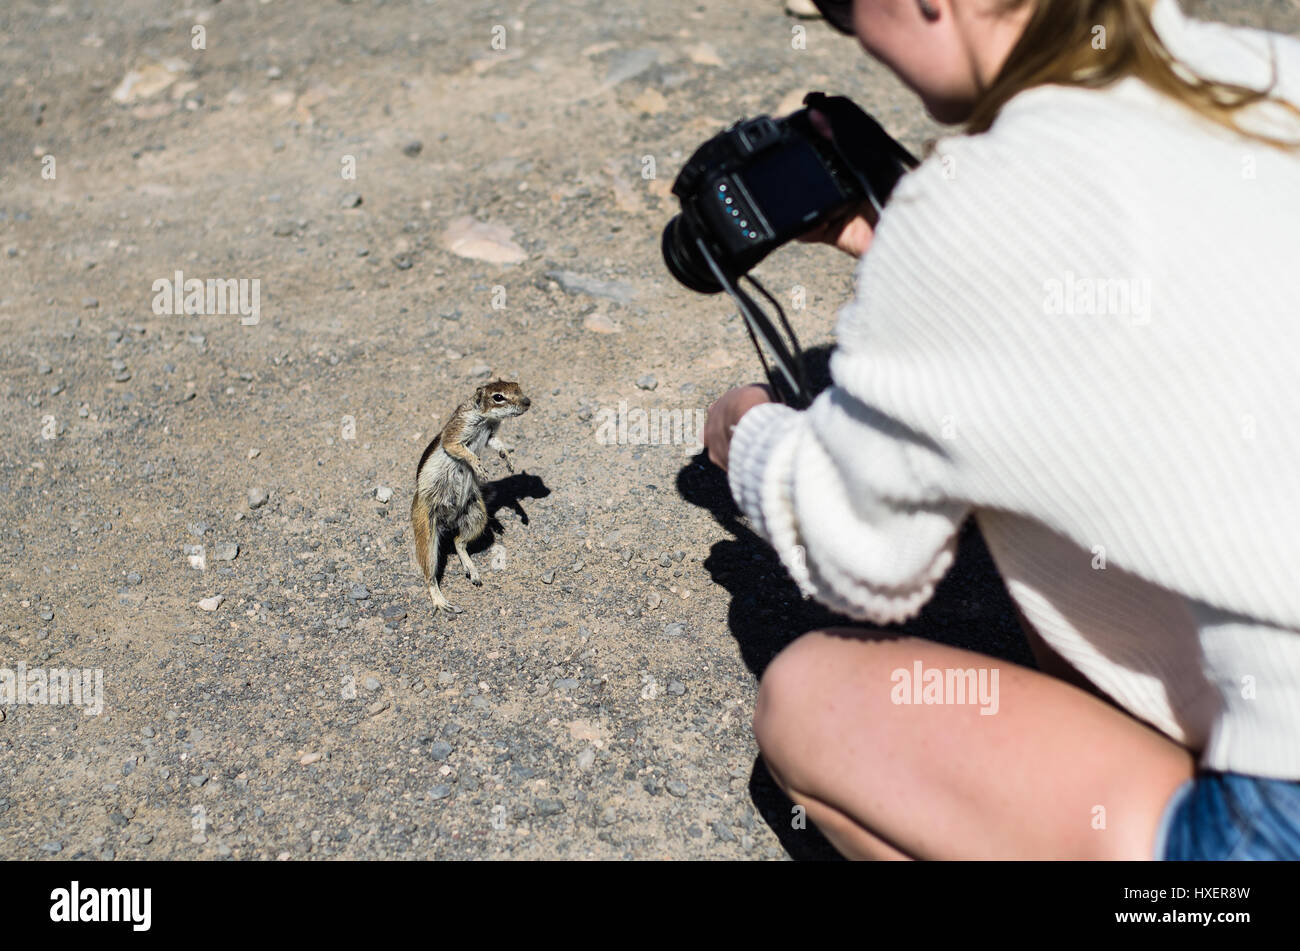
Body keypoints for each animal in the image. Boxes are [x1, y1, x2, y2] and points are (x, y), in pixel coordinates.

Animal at [411, 380, 531, 611]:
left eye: (518, 386)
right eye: (498, 397)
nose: (528, 402)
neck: (486, 419)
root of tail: (448, 521)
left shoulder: (491, 433)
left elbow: (496, 443)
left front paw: (508, 458)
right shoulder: (458, 428)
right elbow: (457, 447)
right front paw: (478, 467)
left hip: (476, 514)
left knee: (459, 541)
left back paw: (472, 570)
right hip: (424, 525)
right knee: (429, 570)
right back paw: (441, 601)